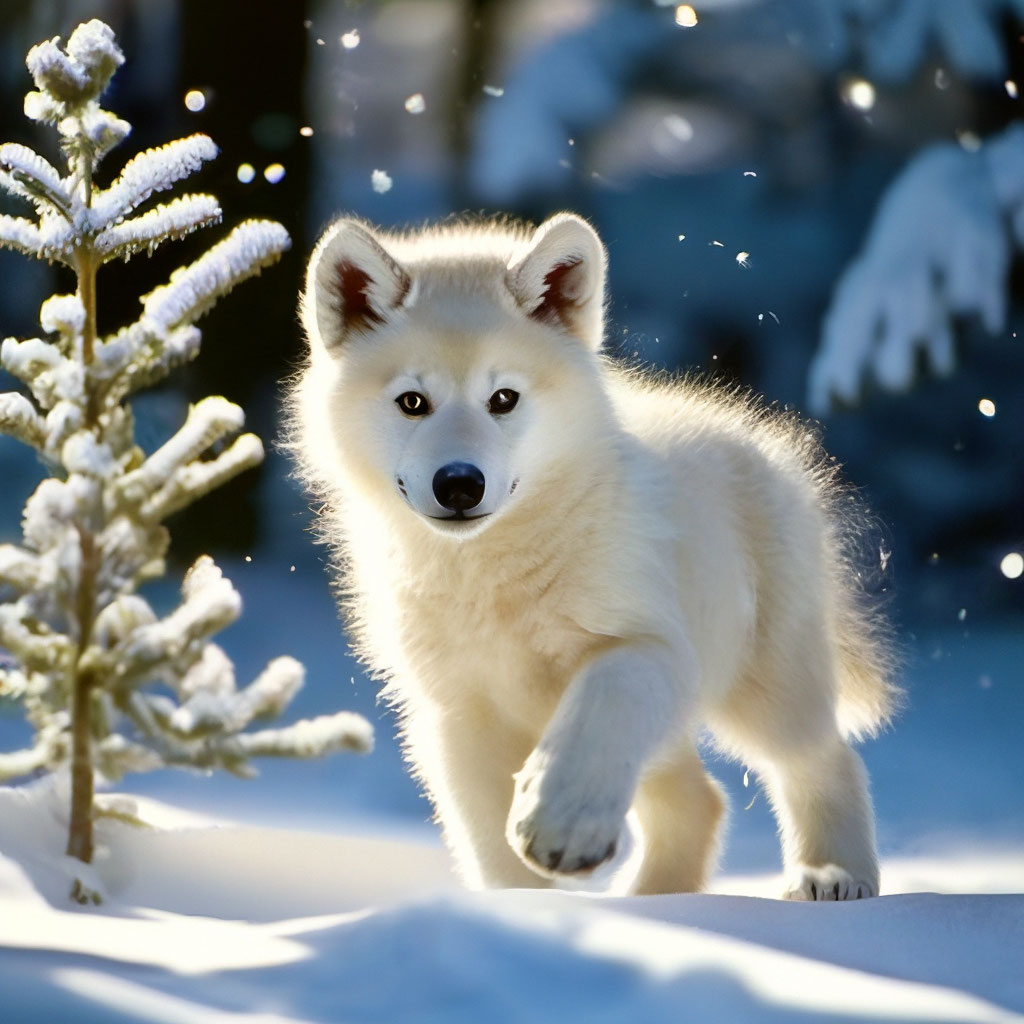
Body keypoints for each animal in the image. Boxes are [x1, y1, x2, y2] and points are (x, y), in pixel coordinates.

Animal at [290, 212, 898, 900]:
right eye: (412, 402)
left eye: (504, 399)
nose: (460, 484)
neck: (494, 573)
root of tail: (775, 456)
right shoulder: (459, 713)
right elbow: (494, 853)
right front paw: (524, 913)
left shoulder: (647, 645)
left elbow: (597, 710)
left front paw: (562, 823)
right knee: (701, 799)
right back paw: (654, 901)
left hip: (767, 689)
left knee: (822, 760)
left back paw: (833, 874)